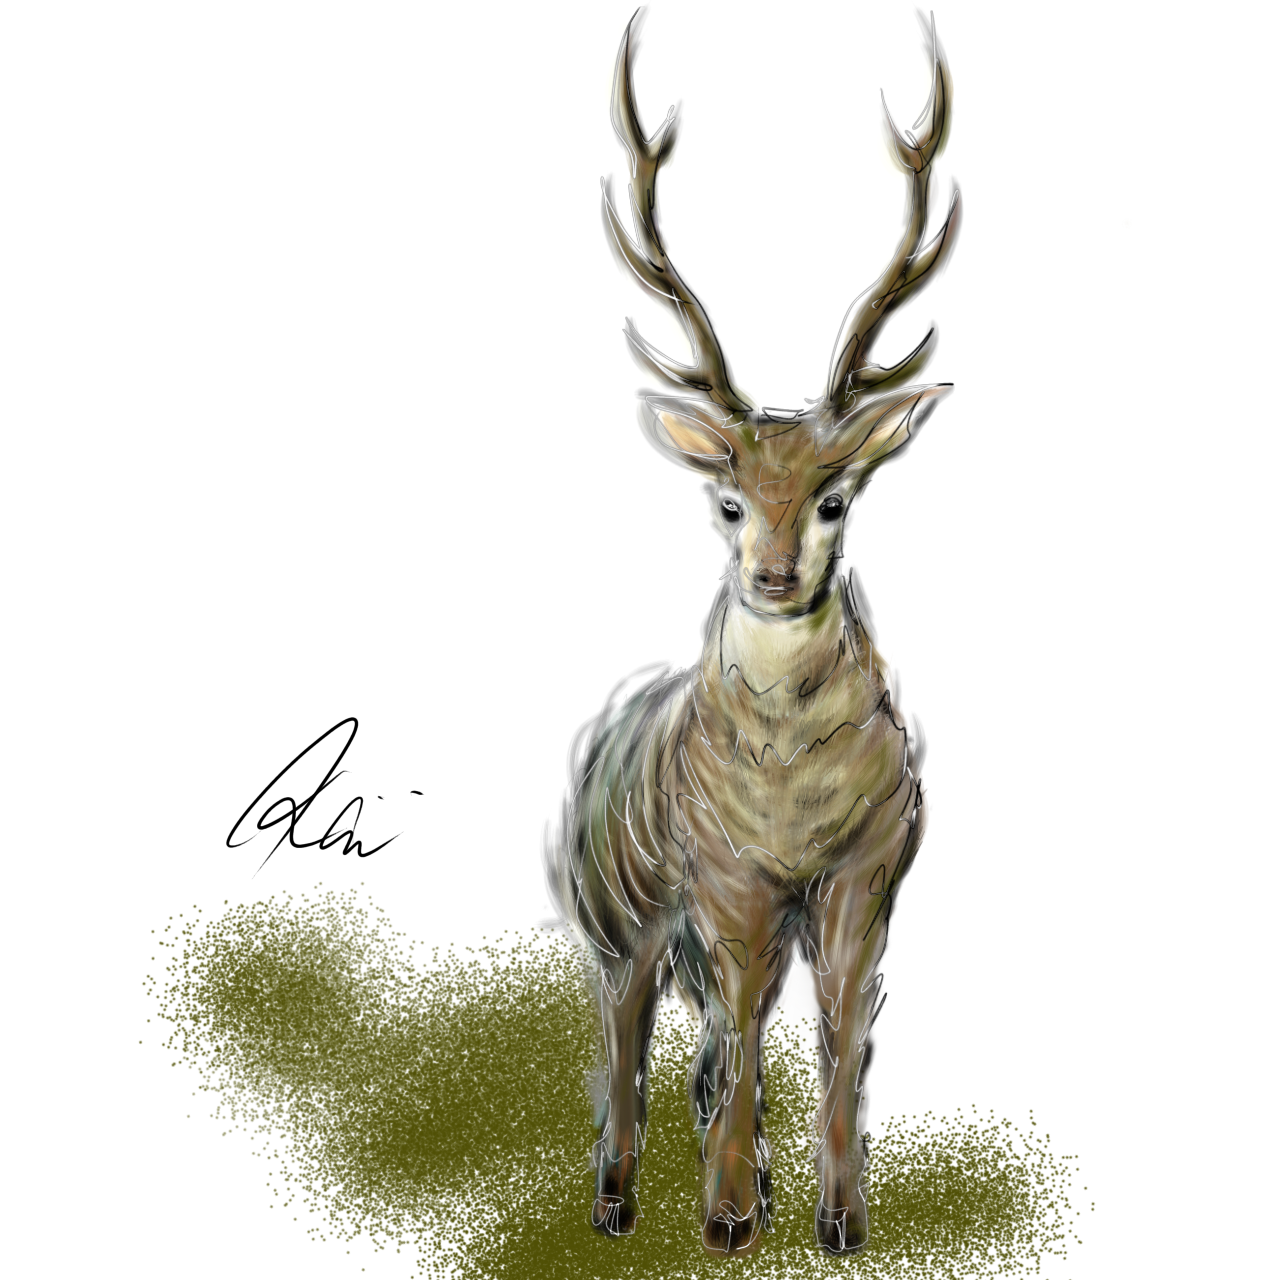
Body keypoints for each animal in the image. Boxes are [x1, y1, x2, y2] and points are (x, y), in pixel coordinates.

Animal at [546, 9, 960, 1258]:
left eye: (835, 497)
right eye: (726, 500)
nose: (773, 575)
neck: (788, 805)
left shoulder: (868, 867)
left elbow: (840, 1021)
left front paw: (839, 1214)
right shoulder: (723, 872)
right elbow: (735, 1014)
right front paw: (726, 1215)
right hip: (616, 911)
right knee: (629, 1027)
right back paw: (617, 1195)